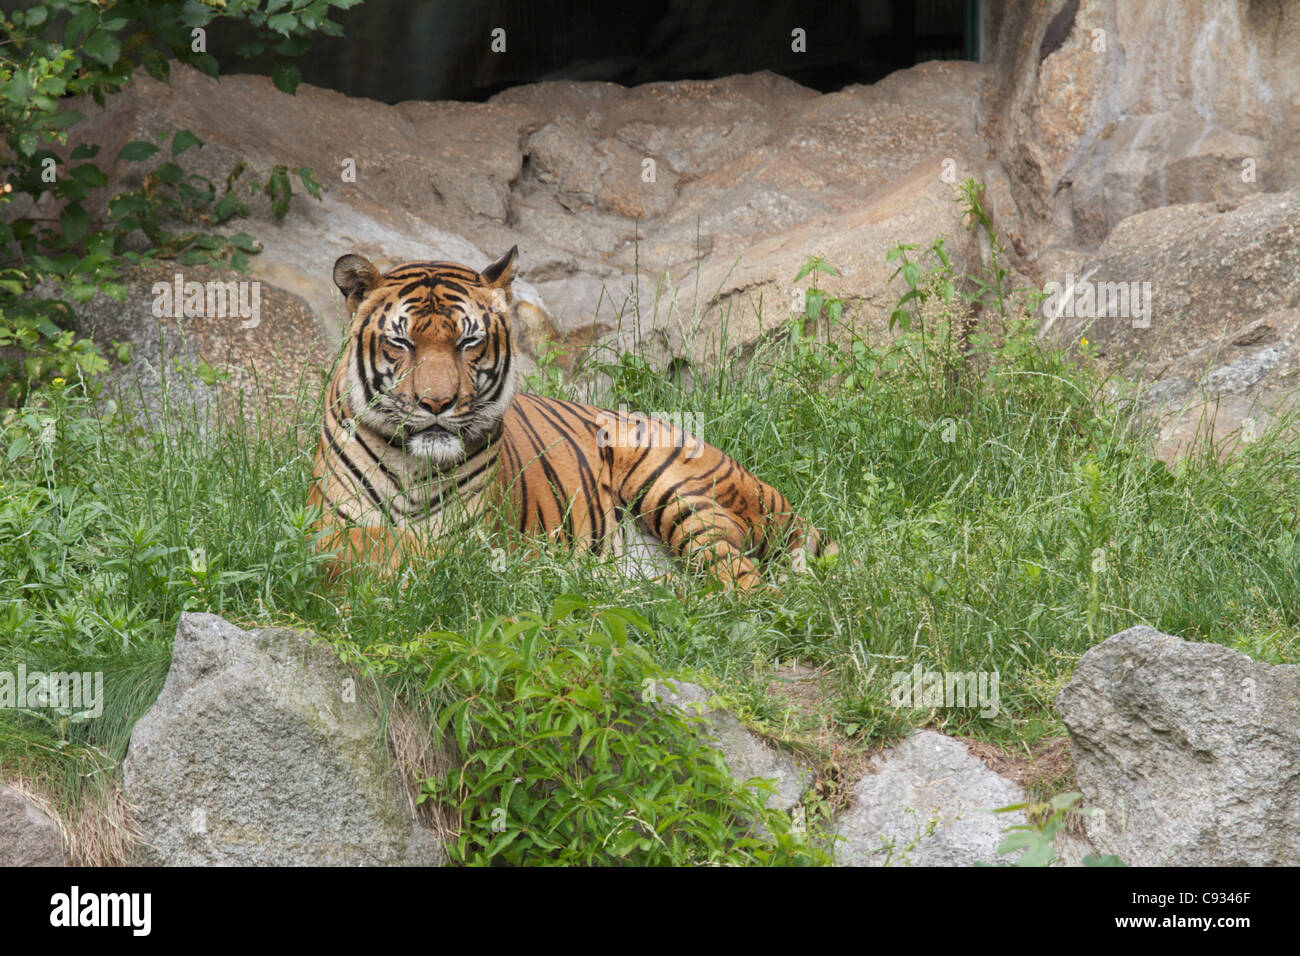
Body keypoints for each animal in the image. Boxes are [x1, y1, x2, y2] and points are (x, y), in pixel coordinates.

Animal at [307, 246, 836, 590]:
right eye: (401, 342)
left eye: (468, 341)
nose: (436, 404)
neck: (412, 464)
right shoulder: (327, 519)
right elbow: (363, 543)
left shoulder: (468, 536)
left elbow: (408, 549)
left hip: (670, 483)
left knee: (747, 586)